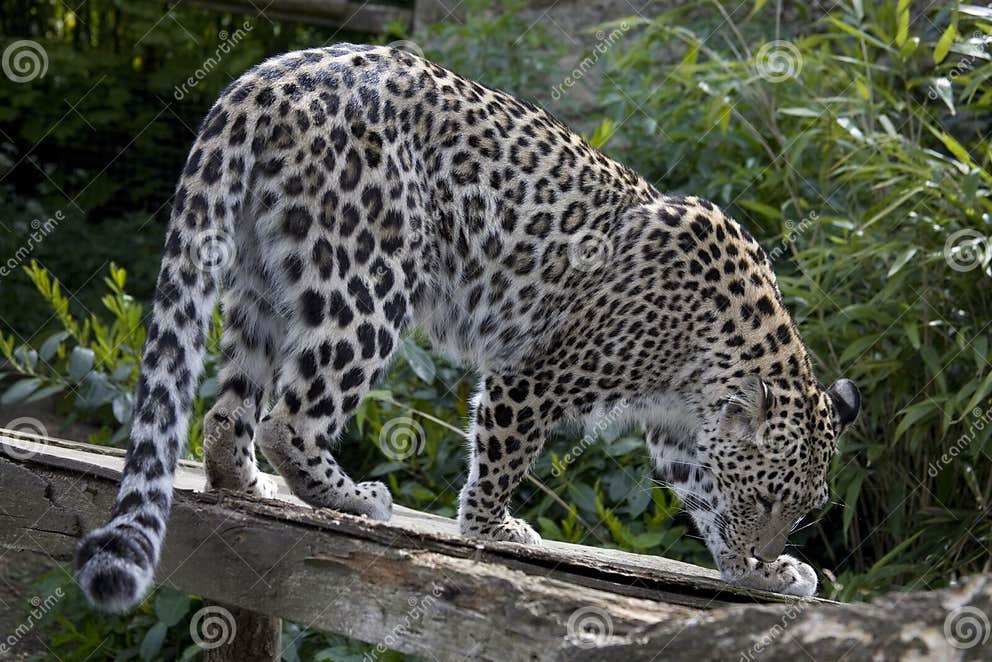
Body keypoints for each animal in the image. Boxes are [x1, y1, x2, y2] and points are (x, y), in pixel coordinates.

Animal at [75, 43, 861, 612]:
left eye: (801, 508)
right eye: (767, 497)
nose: (766, 549)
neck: (716, 356)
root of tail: (266, 76)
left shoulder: (676, 429)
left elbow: (701, 494)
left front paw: (758, 573)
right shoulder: (534, 374)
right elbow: (502, 458)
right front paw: (493, 529)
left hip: (262, 277)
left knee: (228, 410)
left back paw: (248, 485)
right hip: (368, 276)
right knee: (290, 415)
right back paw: (353, 496)